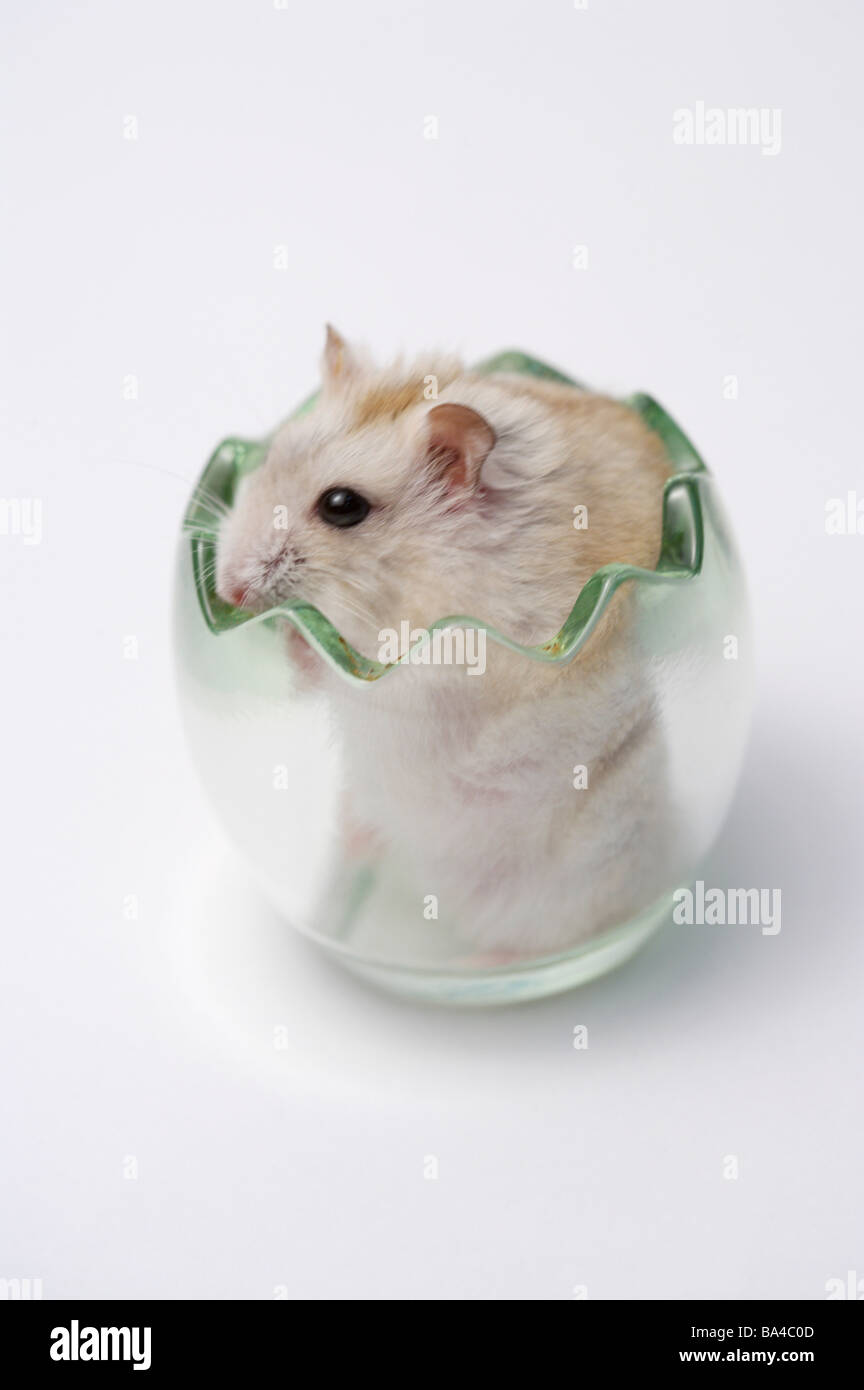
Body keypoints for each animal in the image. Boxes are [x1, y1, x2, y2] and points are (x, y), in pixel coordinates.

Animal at [216, 327, 675, 955]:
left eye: (341, 506)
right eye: (271, 458)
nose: (228, 592)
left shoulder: (450, 667)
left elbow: (363, 675)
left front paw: (305, 641)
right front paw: (288, 634)